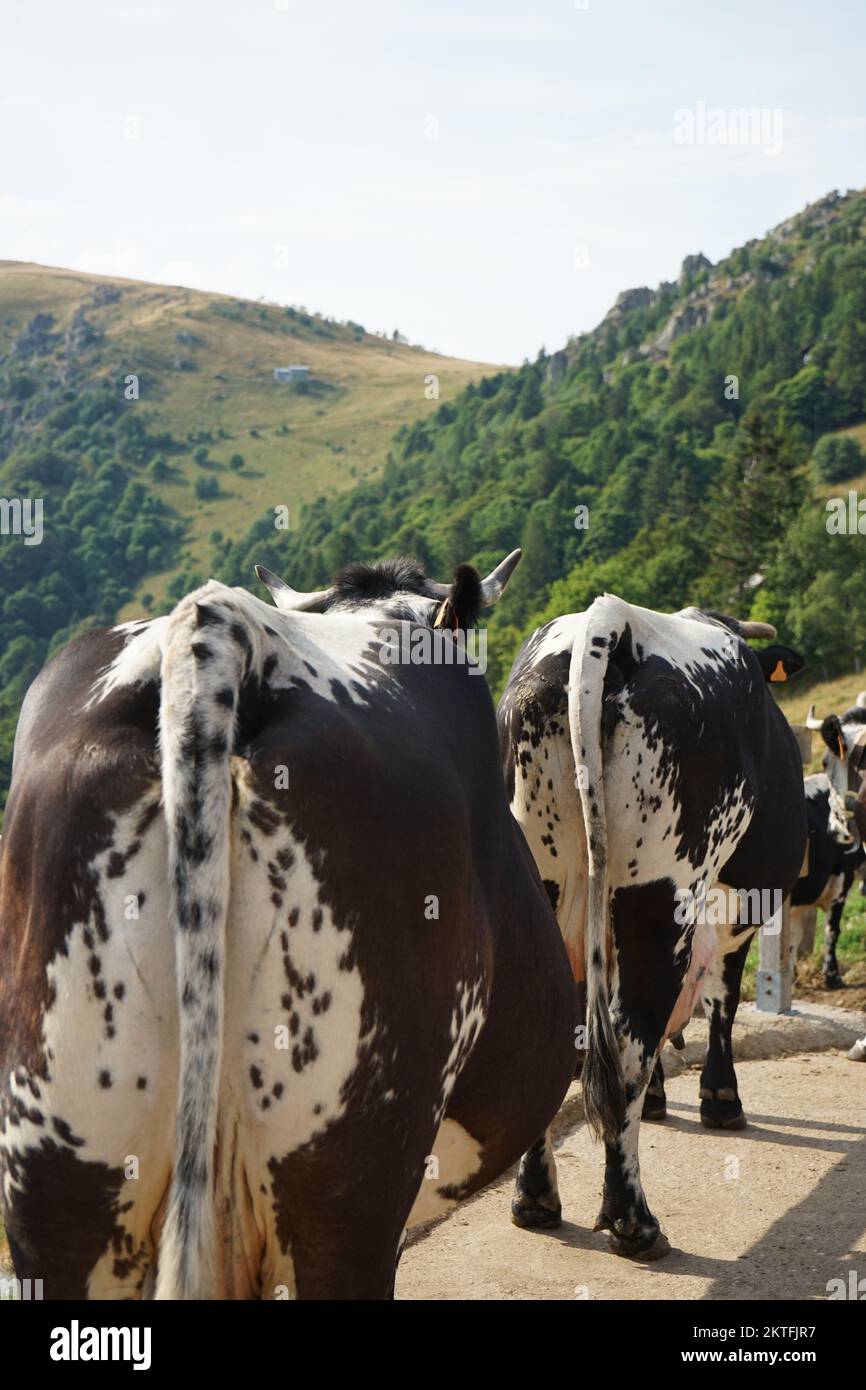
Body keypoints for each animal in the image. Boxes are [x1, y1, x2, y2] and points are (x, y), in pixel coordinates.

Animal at [497, 594, 807, 1259]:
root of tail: (612, 618)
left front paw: (667, 1099)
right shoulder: (739, 908)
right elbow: (722, 1000)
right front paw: (721, 1100)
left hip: (550, 889)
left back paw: (536, 1199)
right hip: (660, 897)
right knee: (632, 1033)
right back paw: (633, 1222)